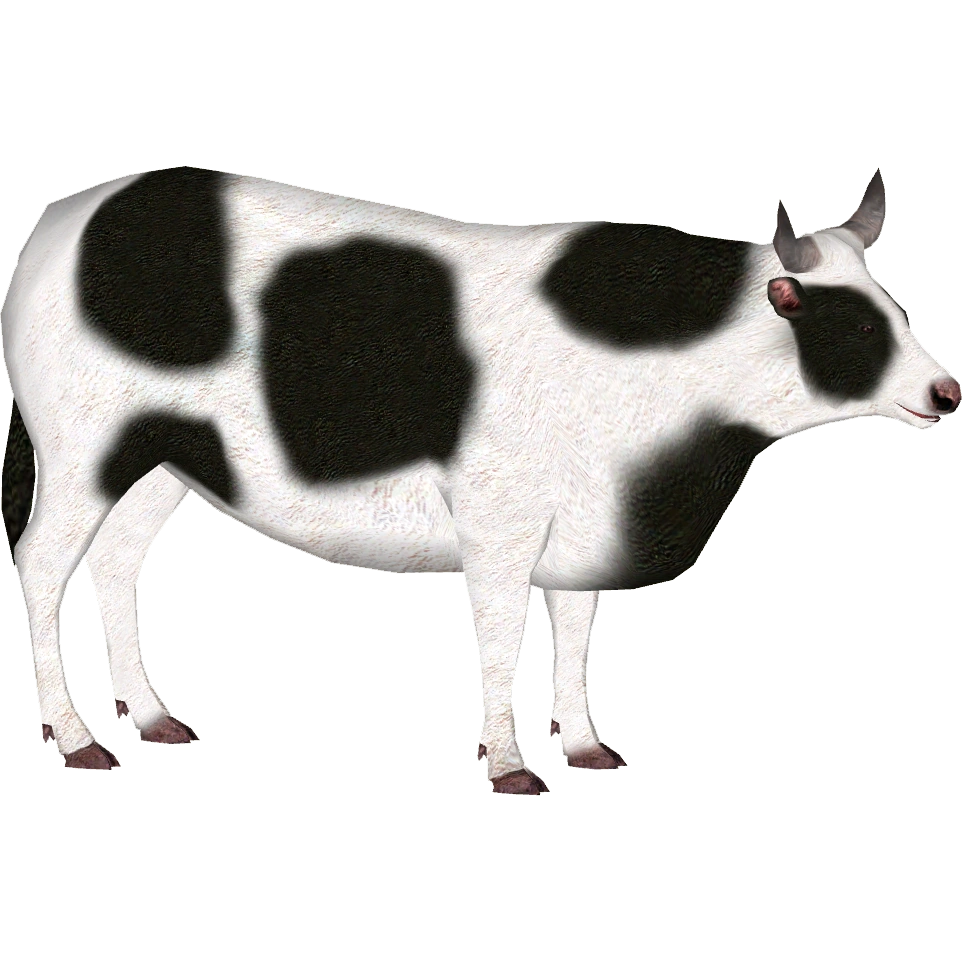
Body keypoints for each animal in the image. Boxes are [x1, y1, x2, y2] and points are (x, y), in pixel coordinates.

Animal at [0, 163, 955, 794]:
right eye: (847, 320)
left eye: (898, 305)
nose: (944, 391)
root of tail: (71, 215)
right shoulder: (500, 516)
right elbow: (501, 637)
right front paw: (505, 763)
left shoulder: (587, 514)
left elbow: (573, 634)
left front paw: (585, 745)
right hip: (82, 447)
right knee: (44, 564)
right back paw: (76, 736)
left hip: (162, 459)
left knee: (116, 563)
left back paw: (150, 715)